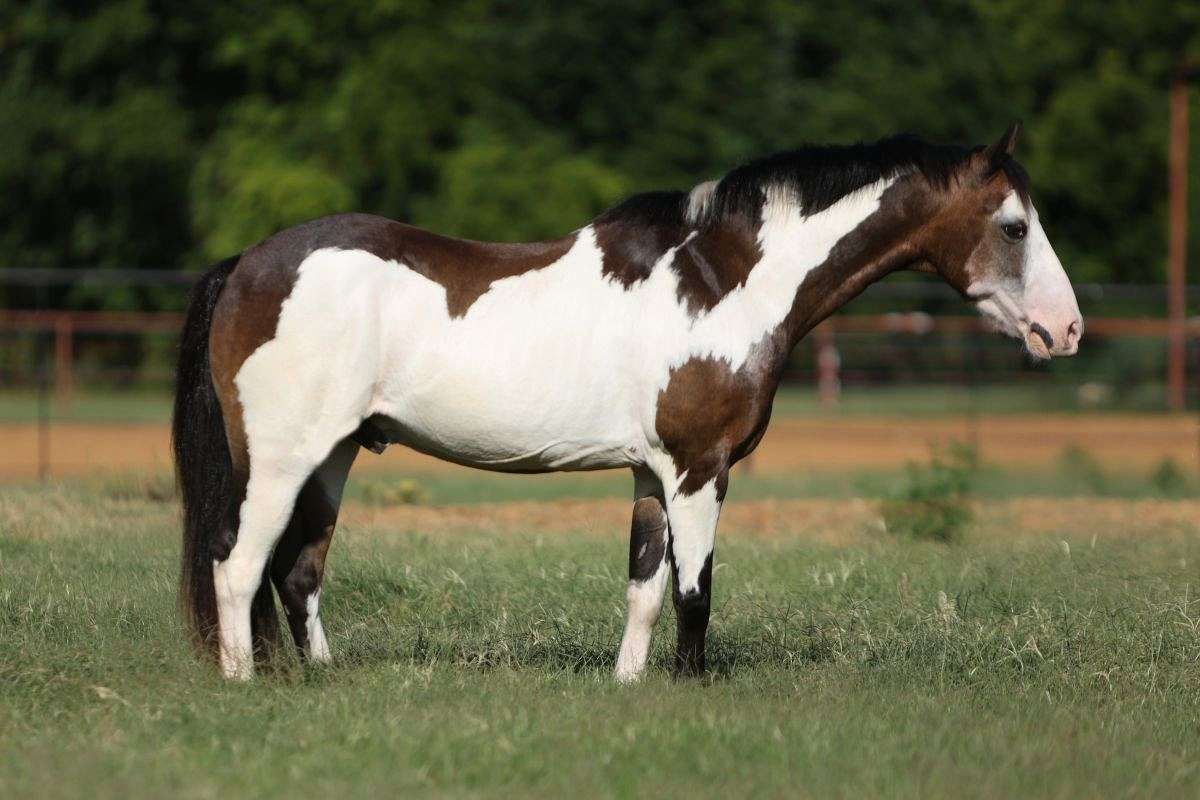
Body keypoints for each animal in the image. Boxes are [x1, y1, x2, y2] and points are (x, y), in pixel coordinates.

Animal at [173, 122, 1082, 681]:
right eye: (1014, 226)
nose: (1065, 329)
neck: (724, 283)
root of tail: (248, 262)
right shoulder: (698, 470)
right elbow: (694, 592)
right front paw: (692, 688)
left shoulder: (652, 475)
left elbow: (644, 590)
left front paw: (630, 686)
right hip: (281, 461)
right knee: (238, 567)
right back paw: (244, 681)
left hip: (334, 456)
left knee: (297, 574)